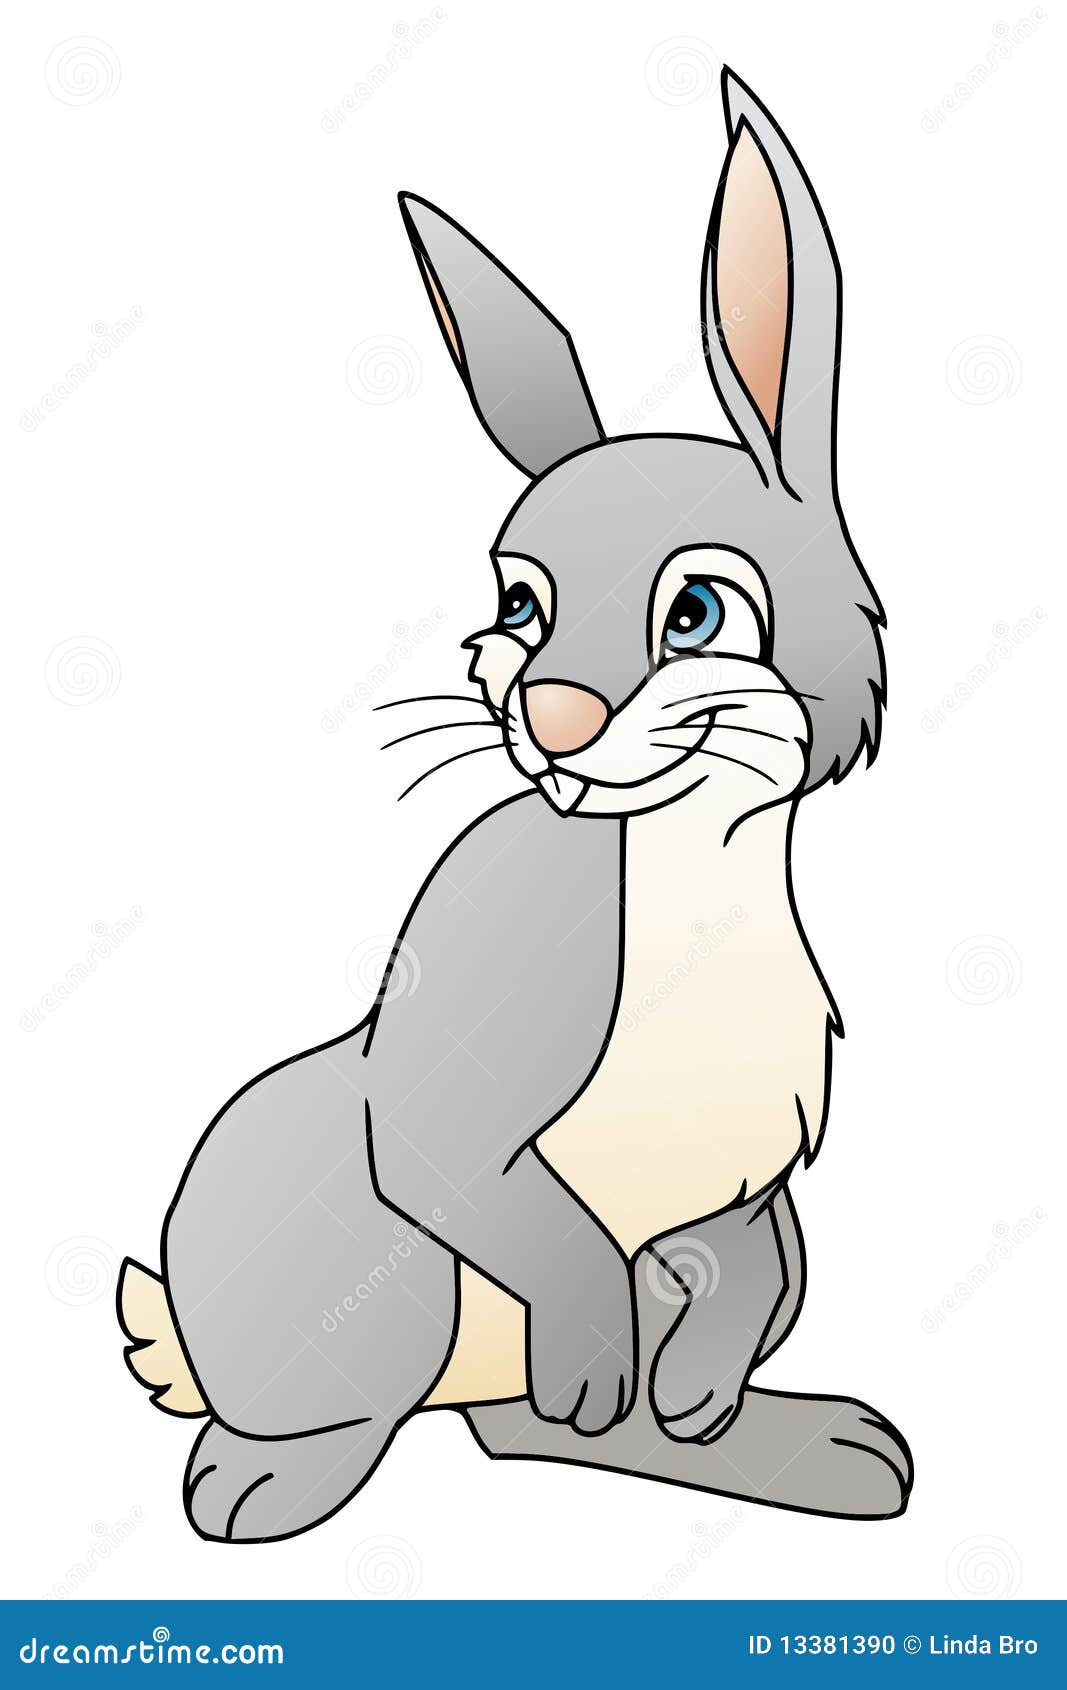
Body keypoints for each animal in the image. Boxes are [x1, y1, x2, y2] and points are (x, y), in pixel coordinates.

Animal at [118, 67, 913, 1543]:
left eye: (696, 610)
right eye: (519, 605)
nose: (552, 721)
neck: (680, 864)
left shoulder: (747, 1181)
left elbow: (754, 1272)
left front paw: (697, 1398)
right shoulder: (454, 1101)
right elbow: (503, 1199)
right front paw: (601, 1360)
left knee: (526, 1430)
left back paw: (804, 1446)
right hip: (378, 1272)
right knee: (395, 1406)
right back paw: (258, 1481)